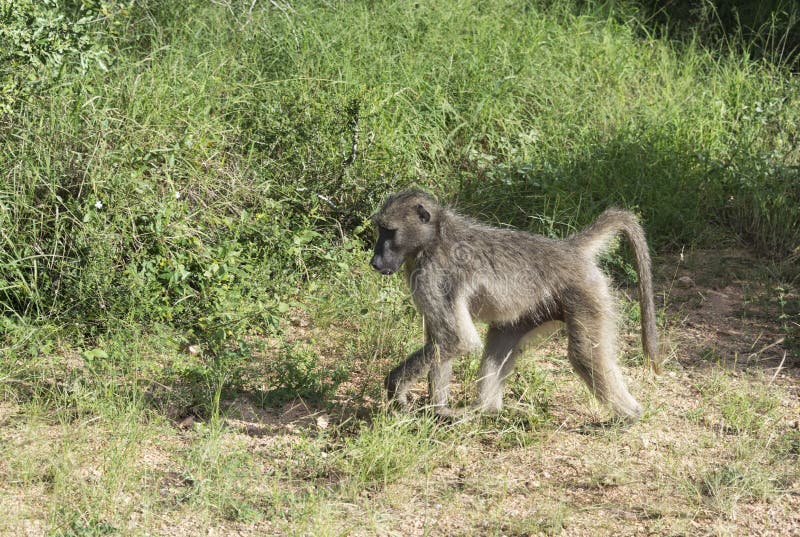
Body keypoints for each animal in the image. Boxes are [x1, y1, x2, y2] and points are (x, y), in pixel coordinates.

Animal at [369, 189, 660, 421]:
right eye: (380, 229)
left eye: (389, 231)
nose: (375, 262)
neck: (434, 237)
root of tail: (569, 249)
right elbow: (442, 341)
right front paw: (438, 411)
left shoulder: (431, 274)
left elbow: (455, 339)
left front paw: (396, 390)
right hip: (533, 311)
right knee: (500, 338)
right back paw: (484, 411)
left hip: (586, 294)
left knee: (584, 354)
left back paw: (630, 416)